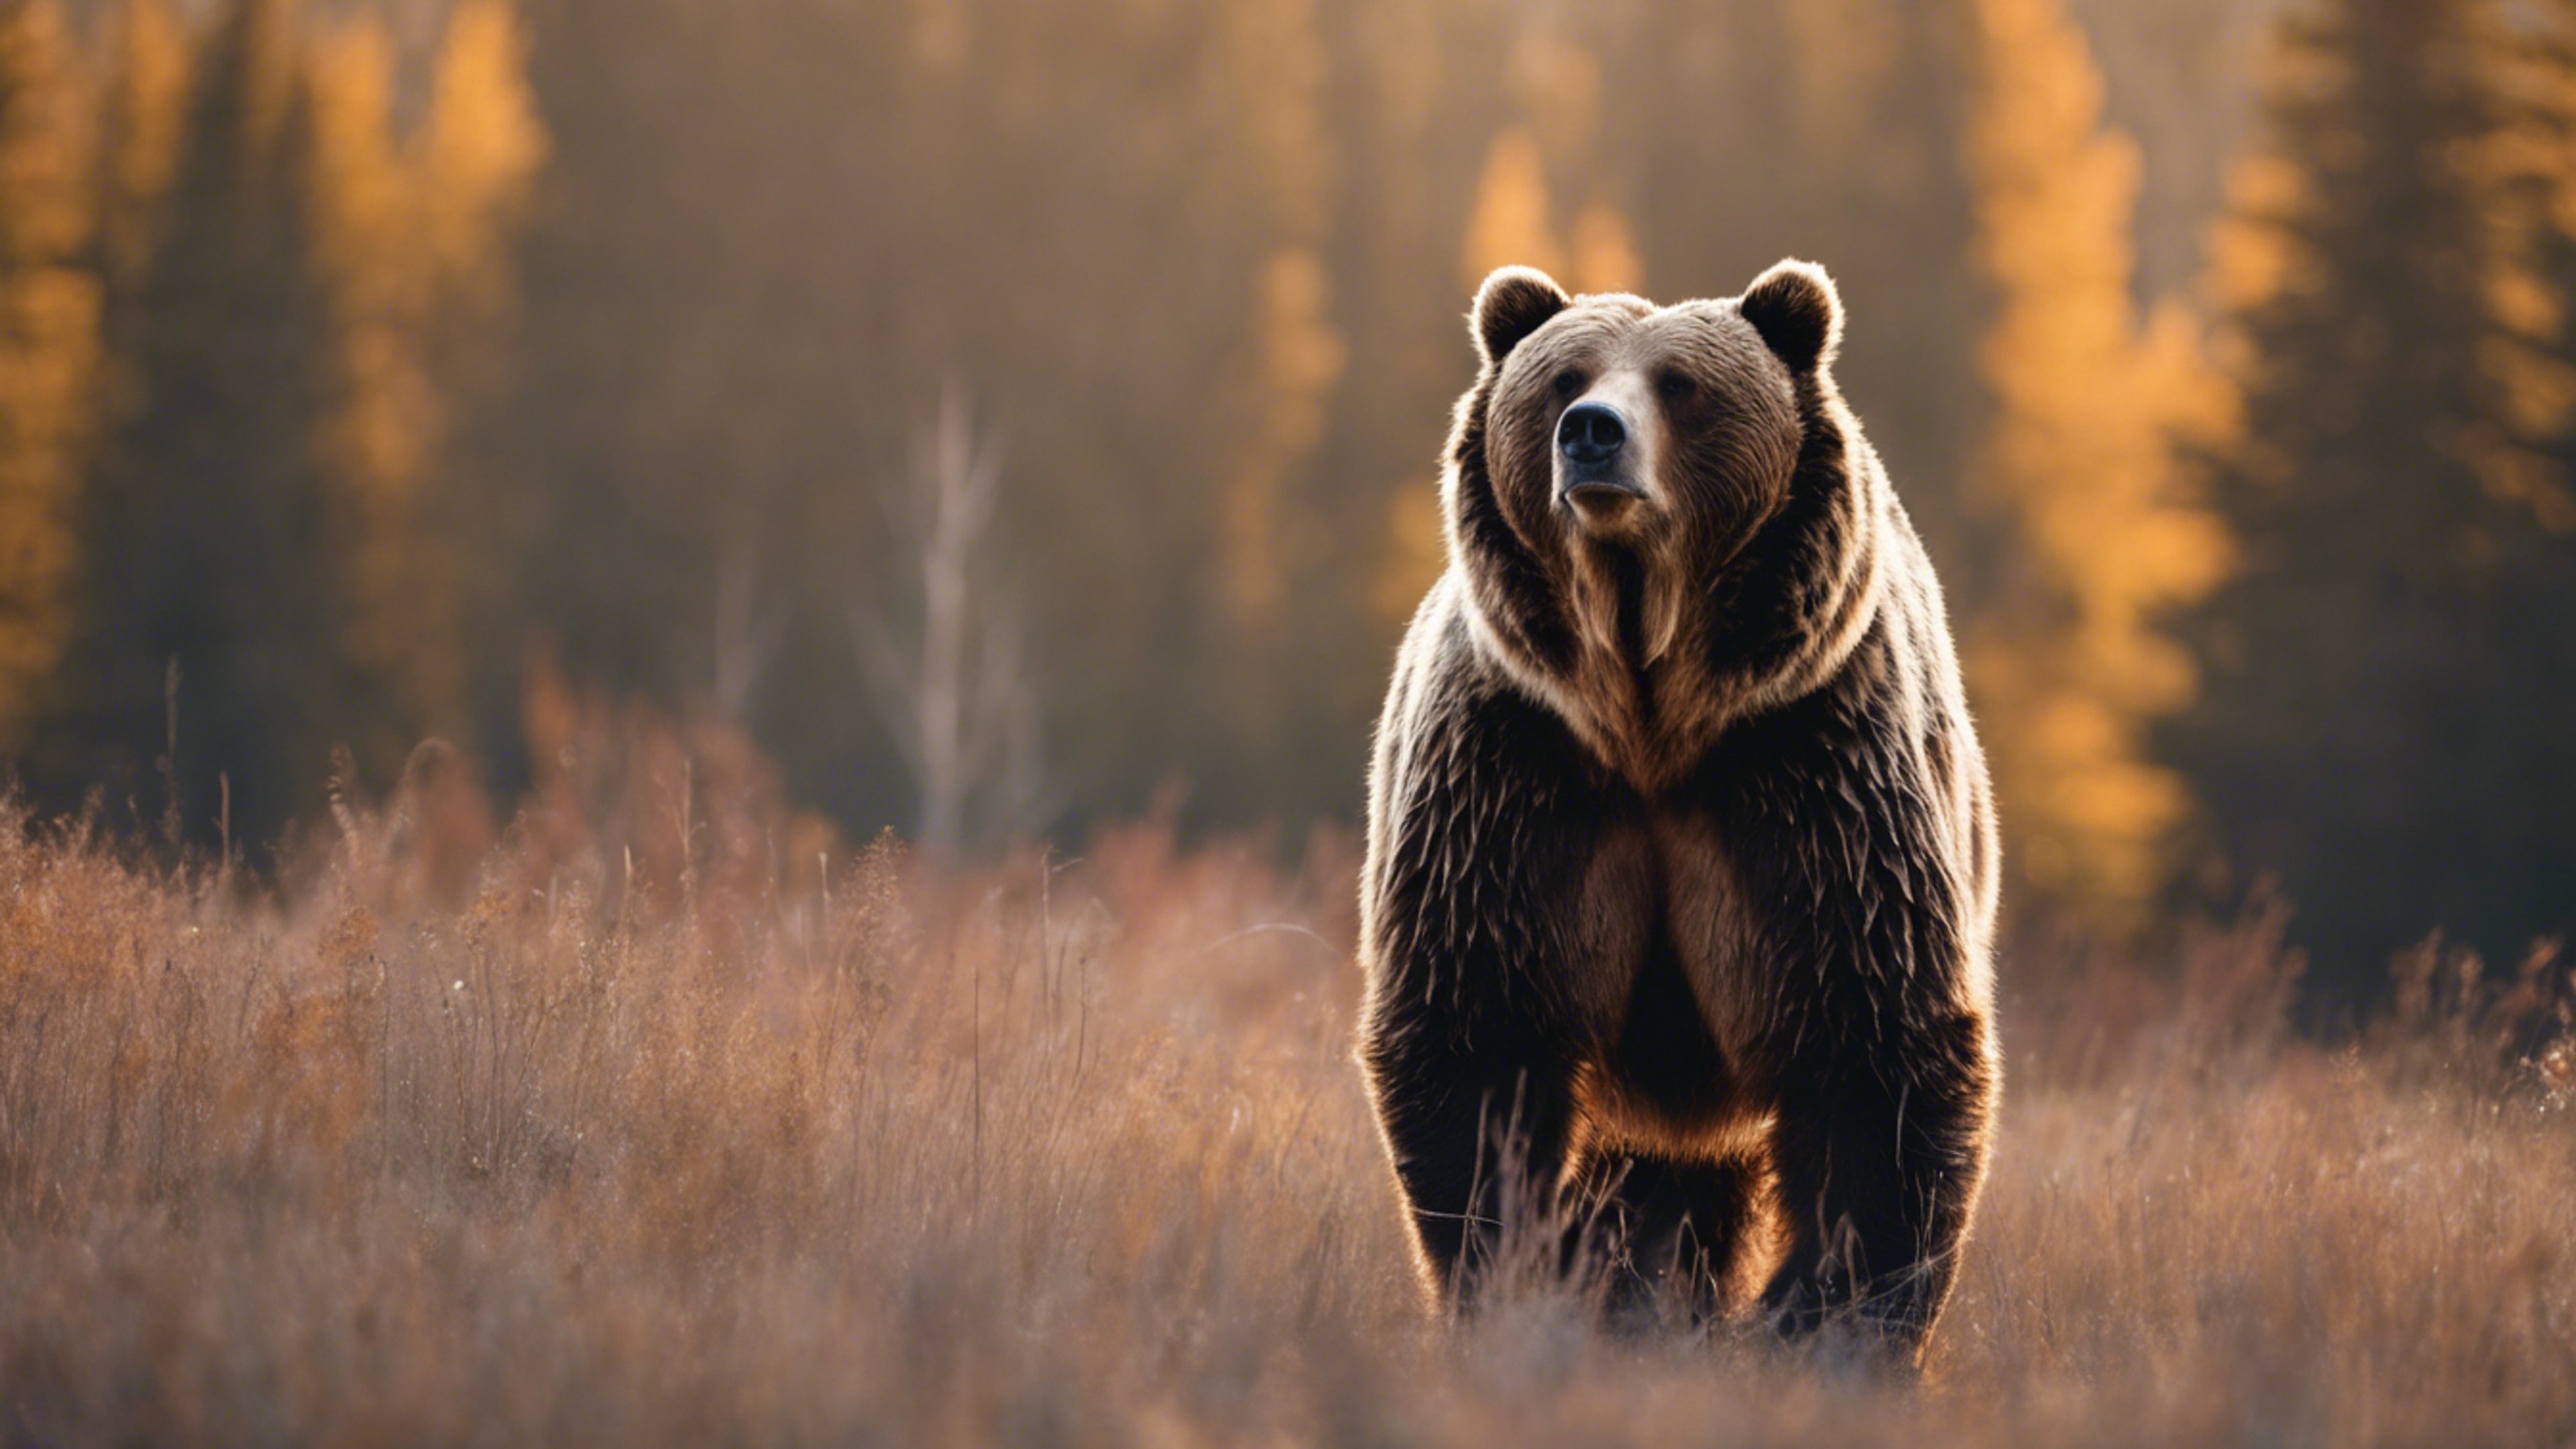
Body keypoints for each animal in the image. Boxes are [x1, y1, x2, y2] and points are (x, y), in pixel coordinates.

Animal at [1356, 260, 2000, 1364]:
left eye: (1683, 385)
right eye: (1562, 376)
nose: (1591, 433)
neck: (1648, 709)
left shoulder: (1809, 780)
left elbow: (1875, 1054)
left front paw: (1825, 1324)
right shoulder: (1517, 779)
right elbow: (1479, 1033)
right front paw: (1519, 1283)